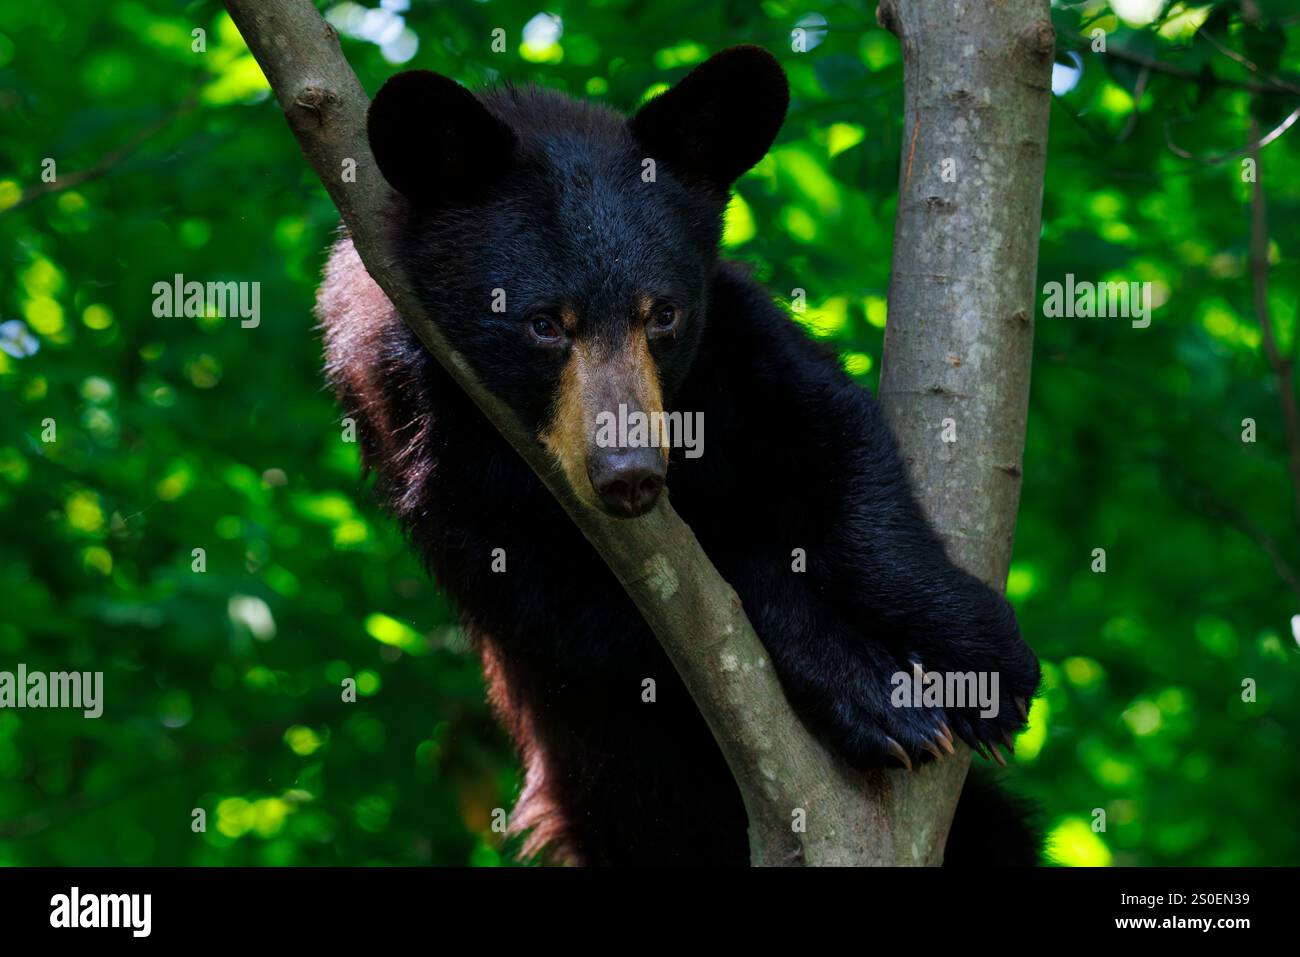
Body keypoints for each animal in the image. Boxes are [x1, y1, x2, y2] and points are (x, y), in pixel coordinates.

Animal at [317, 45, 1042, 866]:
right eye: (542, 324)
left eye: (662, 313)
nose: (629, 476)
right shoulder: (418, 433)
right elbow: (584, 609)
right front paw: (873, 696)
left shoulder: (732, 333)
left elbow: (837, 442)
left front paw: (981, 661)